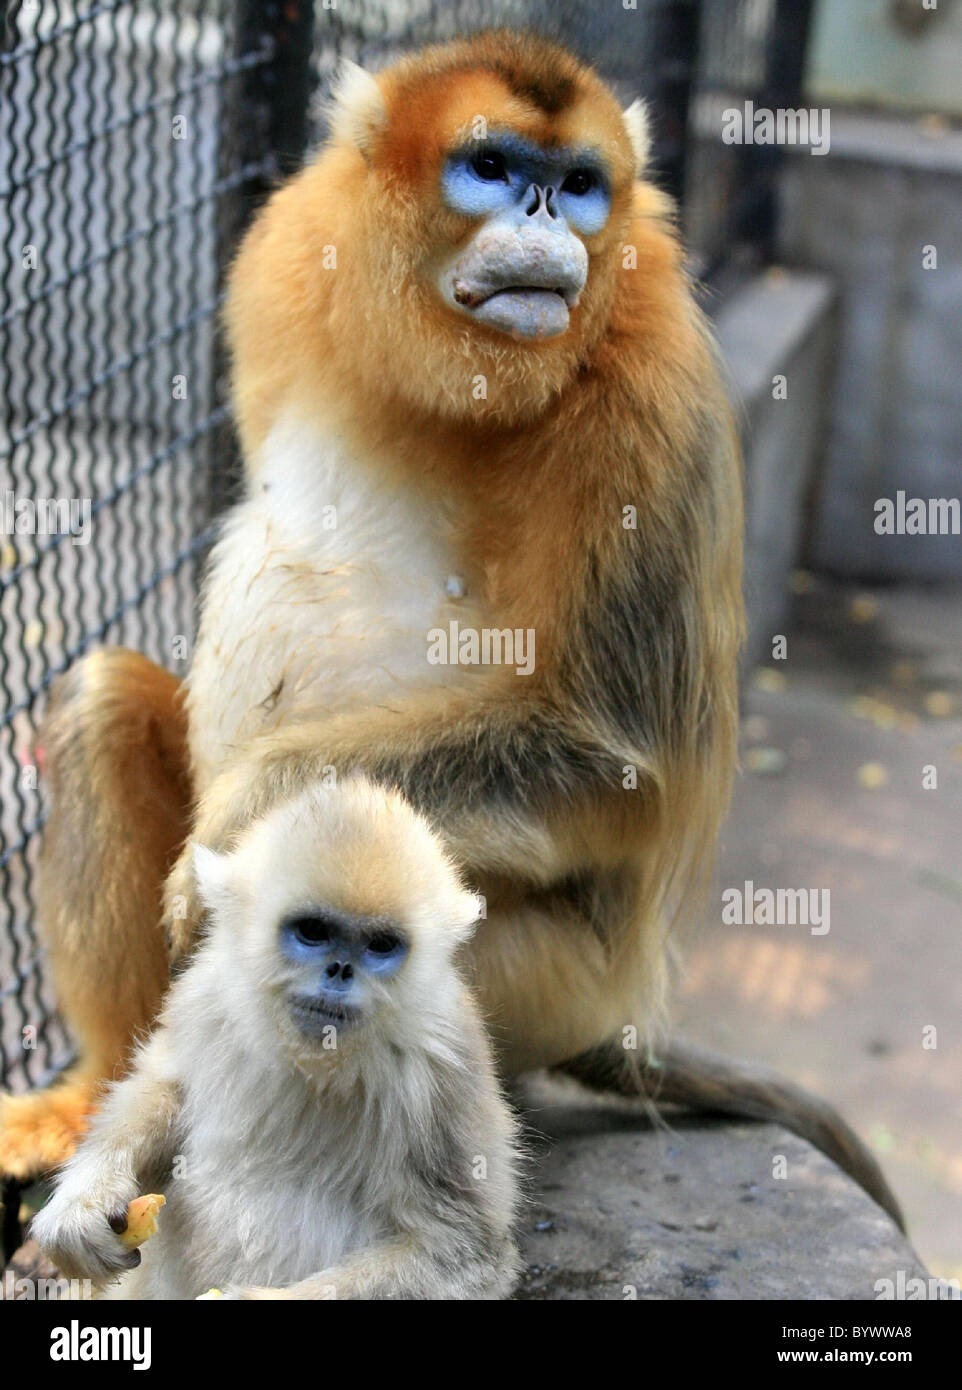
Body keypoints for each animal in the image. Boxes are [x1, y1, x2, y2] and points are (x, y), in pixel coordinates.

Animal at [0, 30, 903, 1232]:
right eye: (493, 166)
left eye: (579, 184)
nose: (544, 212)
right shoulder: (288, 246)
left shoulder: (650, 386)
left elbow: (606, 753)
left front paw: (253, 810)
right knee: (98, 698)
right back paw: (108, 1103)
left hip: (547, 983)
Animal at [32, 777, 521, 1300]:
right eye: (313, 932)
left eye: (380, 946)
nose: (340, 970)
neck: (312, 1059)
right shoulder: (209, 993)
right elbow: (169, 1082)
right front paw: (83, 1199)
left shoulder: (446, 1058)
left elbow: (466, 1249)